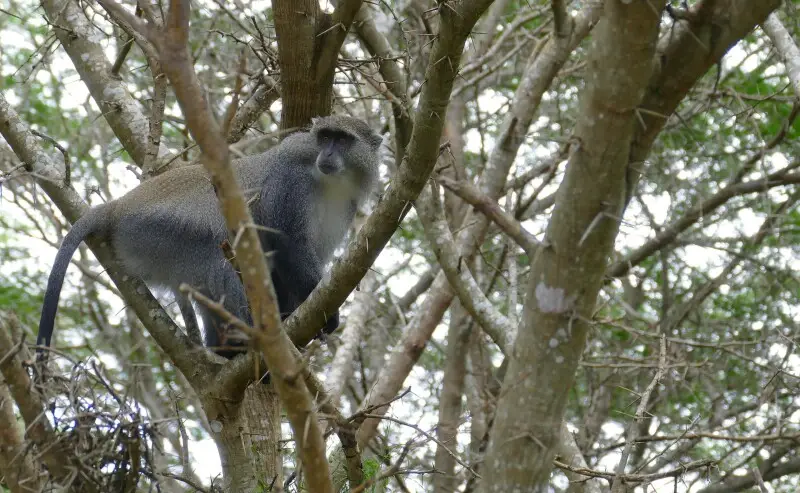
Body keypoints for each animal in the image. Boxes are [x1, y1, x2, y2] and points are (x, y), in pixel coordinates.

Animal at [37, 115, 382, 360]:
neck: (330, 183)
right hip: (157, 233)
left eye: (343, 139)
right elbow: (289, 245)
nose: (327, 153)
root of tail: (119, 206)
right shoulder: (290, 185)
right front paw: (326, 318)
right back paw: (243, 341)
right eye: (324, 137)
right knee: (216, 261)